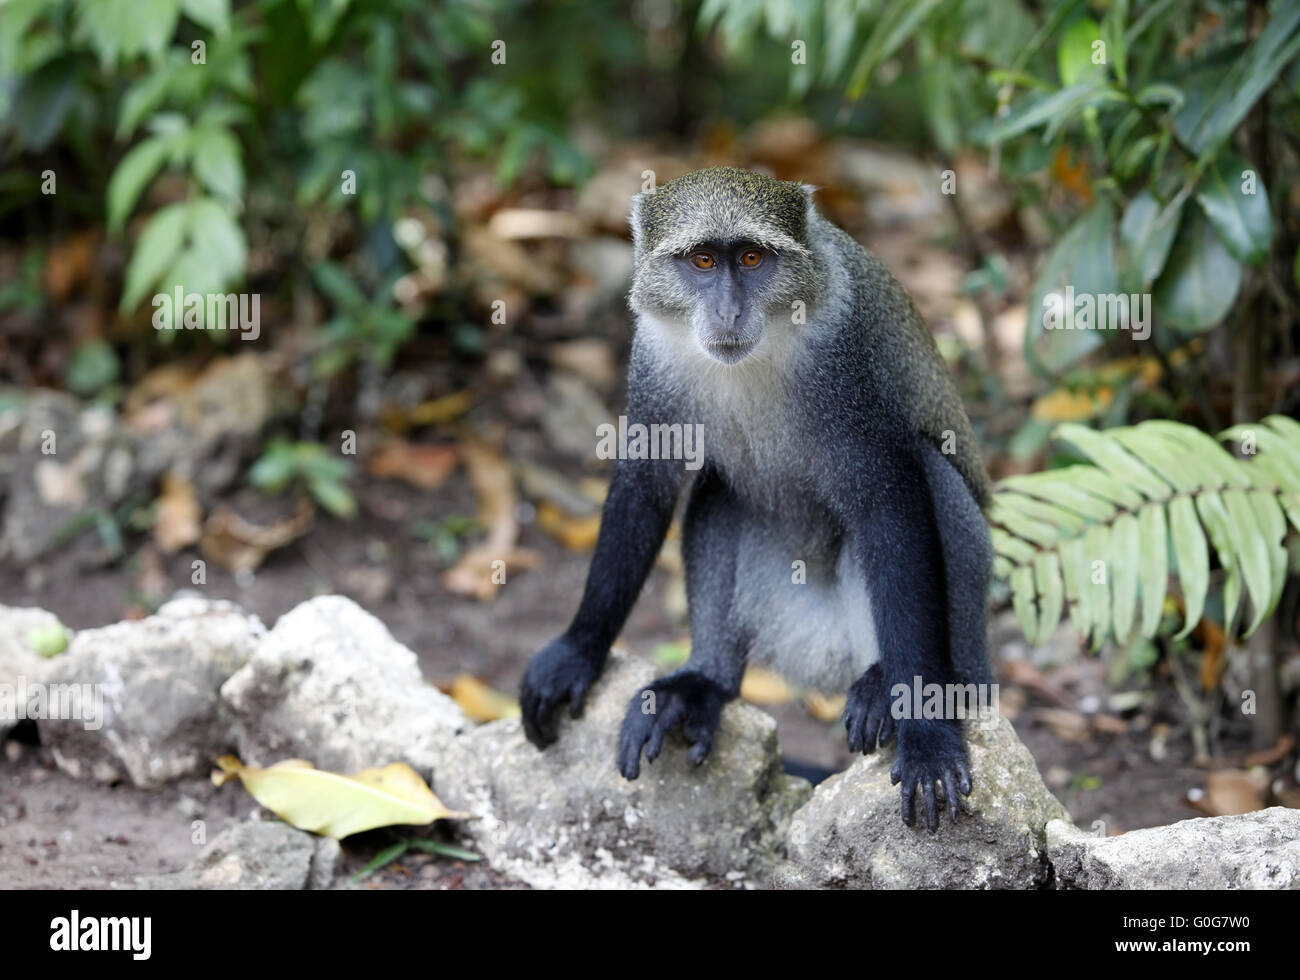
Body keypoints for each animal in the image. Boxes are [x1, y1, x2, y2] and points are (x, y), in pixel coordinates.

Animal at [520, 166, 993, 833]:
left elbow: (890, 502)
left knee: (928, 470)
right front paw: (577, 652)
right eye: (701, 260)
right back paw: (704, 683)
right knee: (718, 489)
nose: (728, 310)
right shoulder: (653, 358)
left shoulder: (847, 362)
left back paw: (890, 682)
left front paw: (927, 733)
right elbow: (645, 487)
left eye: (750, 258)